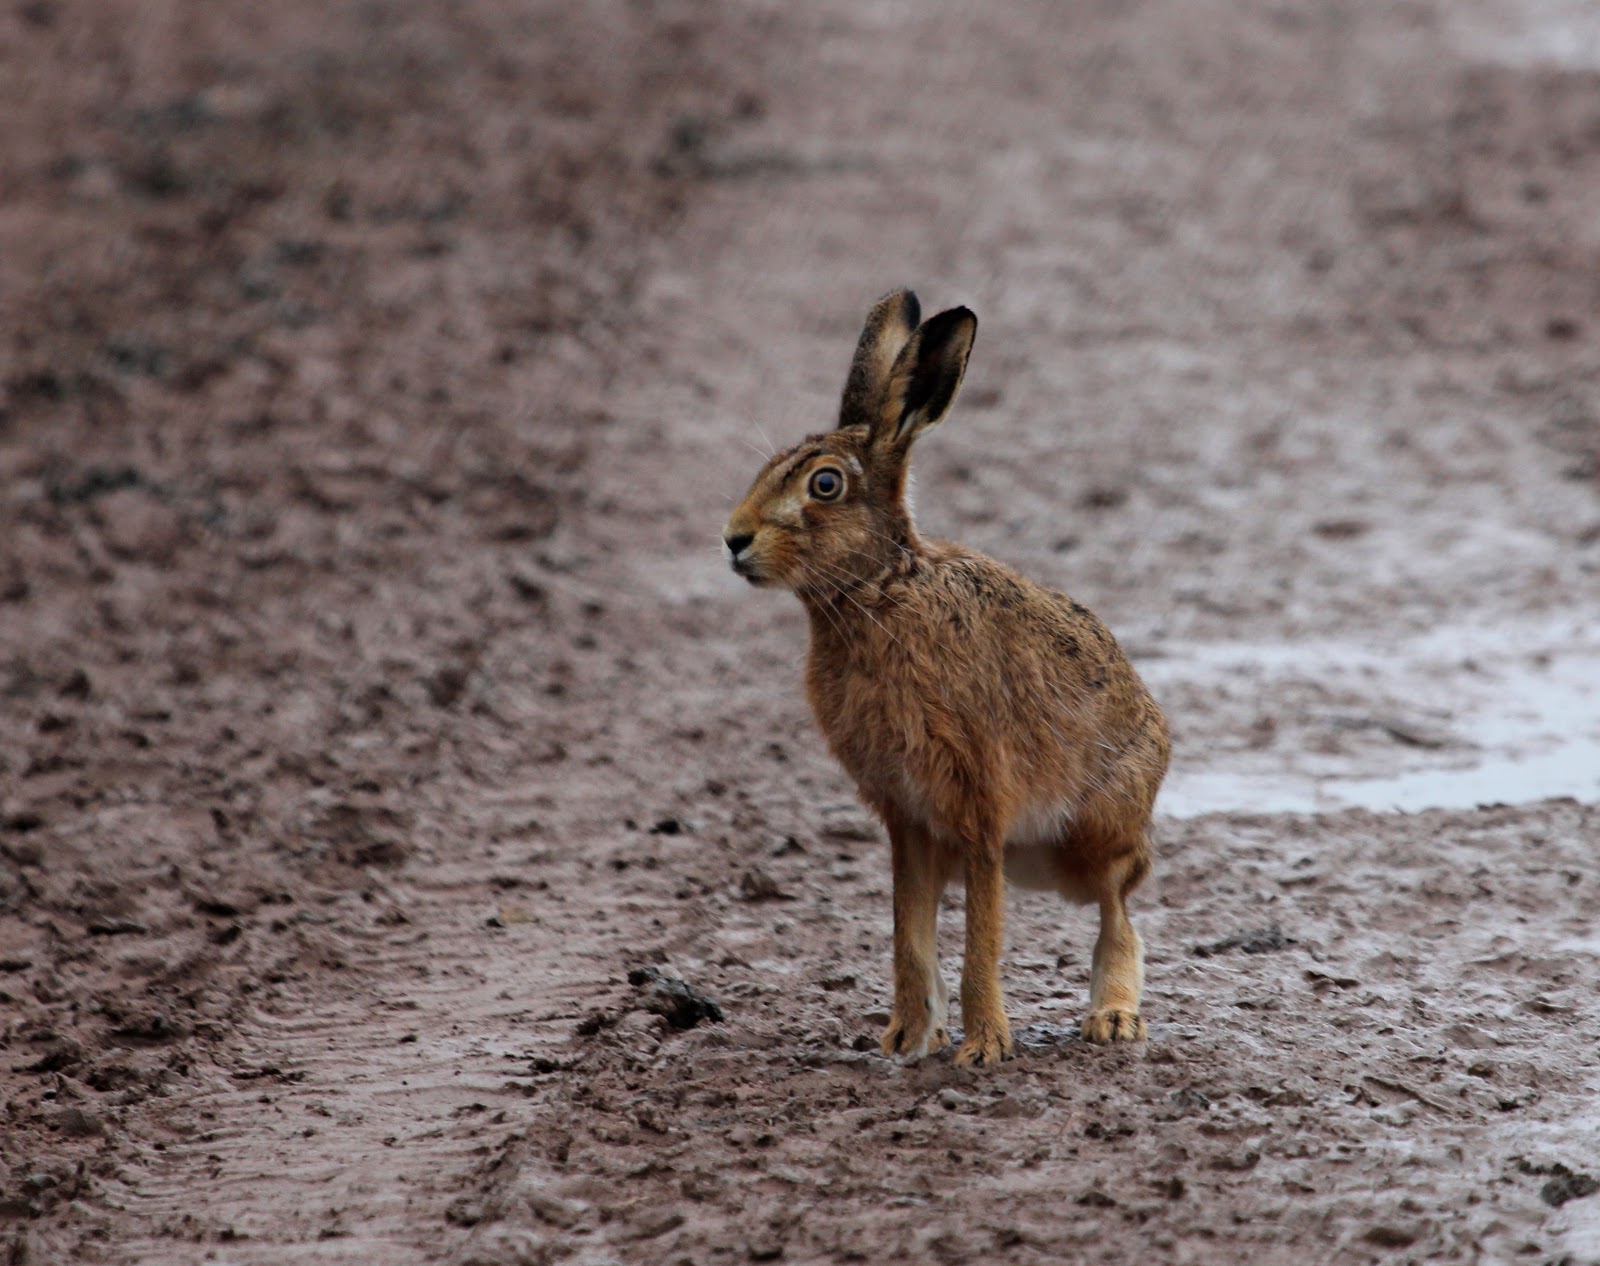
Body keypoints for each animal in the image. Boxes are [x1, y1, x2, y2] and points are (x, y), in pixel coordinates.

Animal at [722, 289, 1170, 1066]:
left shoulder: (978, 801)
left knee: (1120, 909)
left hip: (1091, 832)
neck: (877, 590)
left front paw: (984, 1047)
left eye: (825, 483)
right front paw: (904, 1040)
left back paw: (1112, 1018)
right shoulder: (907, 817)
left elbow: (979, 939)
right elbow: (910, 935)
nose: (734, 540)